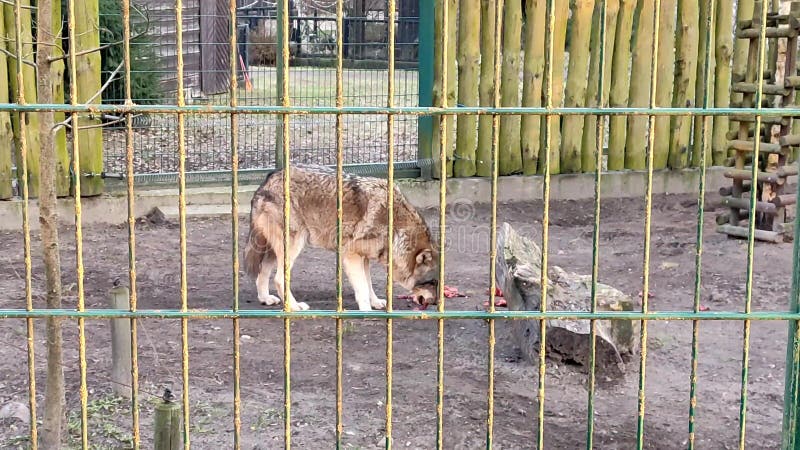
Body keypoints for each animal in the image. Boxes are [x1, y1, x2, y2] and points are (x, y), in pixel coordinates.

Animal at [244, 164, 439, 312]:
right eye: (432, 282)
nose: (437, 303)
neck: (396, 229)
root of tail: (268, 178)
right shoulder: (351, 255)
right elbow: (362, 287)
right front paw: (366, 310)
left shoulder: (364, 258)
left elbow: (368, 284)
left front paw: (375, 302)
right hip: (294, 245)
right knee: (278, 278)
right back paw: (294, 306)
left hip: (275, 249)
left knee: (262, 272)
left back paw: (266, 298)